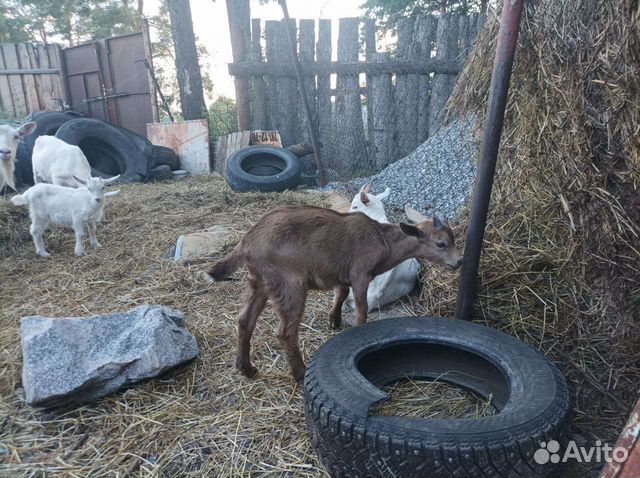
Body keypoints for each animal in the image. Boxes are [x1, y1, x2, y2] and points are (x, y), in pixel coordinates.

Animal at [206, 205, 462, 382]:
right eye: (441, 244)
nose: (459, 262)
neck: (383, 241)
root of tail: (246, 243)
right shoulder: (360, 272)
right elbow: (361, 308)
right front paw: (357, 330)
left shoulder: (342, 273)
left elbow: (341, 292)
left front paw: (334, 321)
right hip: (288, 282)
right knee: (286, 332)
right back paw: (300, 373)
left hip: (259, 280)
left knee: (244, 320)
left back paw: (247, 369)